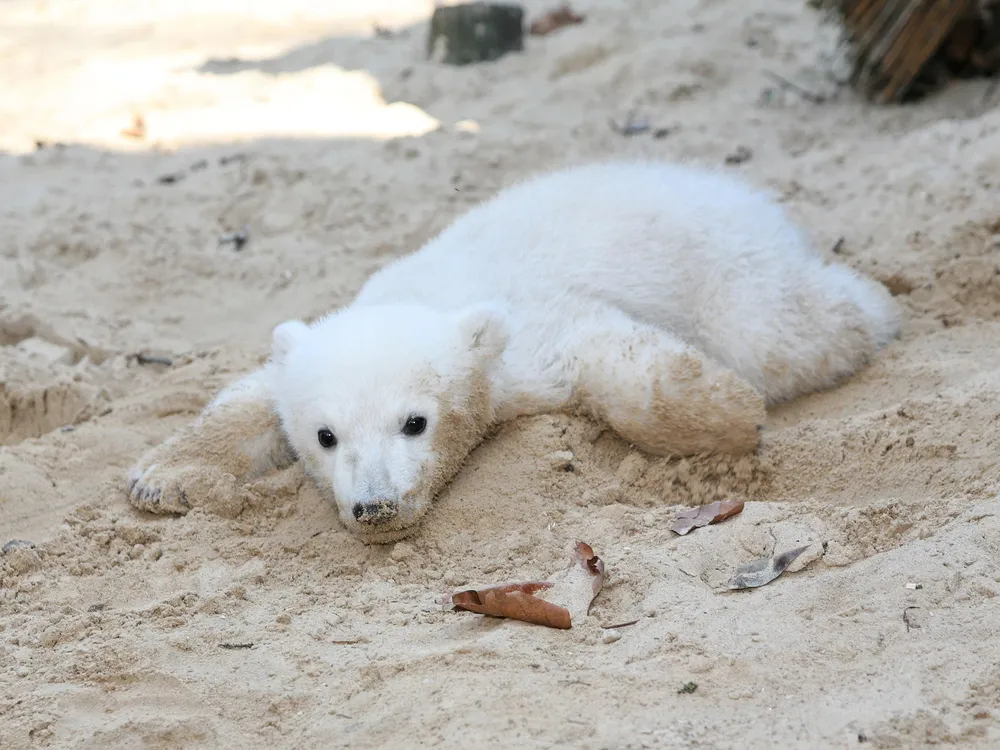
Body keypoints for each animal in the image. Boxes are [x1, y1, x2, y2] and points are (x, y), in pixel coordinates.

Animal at [126, 160, 901, 543]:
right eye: (325, 436)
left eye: (416, 422)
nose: (374, 508)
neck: (429, 295)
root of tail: (741, 194)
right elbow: (252, 395)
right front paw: (161, 480)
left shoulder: (532, 329)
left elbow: (613, 359)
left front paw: (733, 411)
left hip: (728, 265)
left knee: (782, 332)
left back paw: (872, 299)